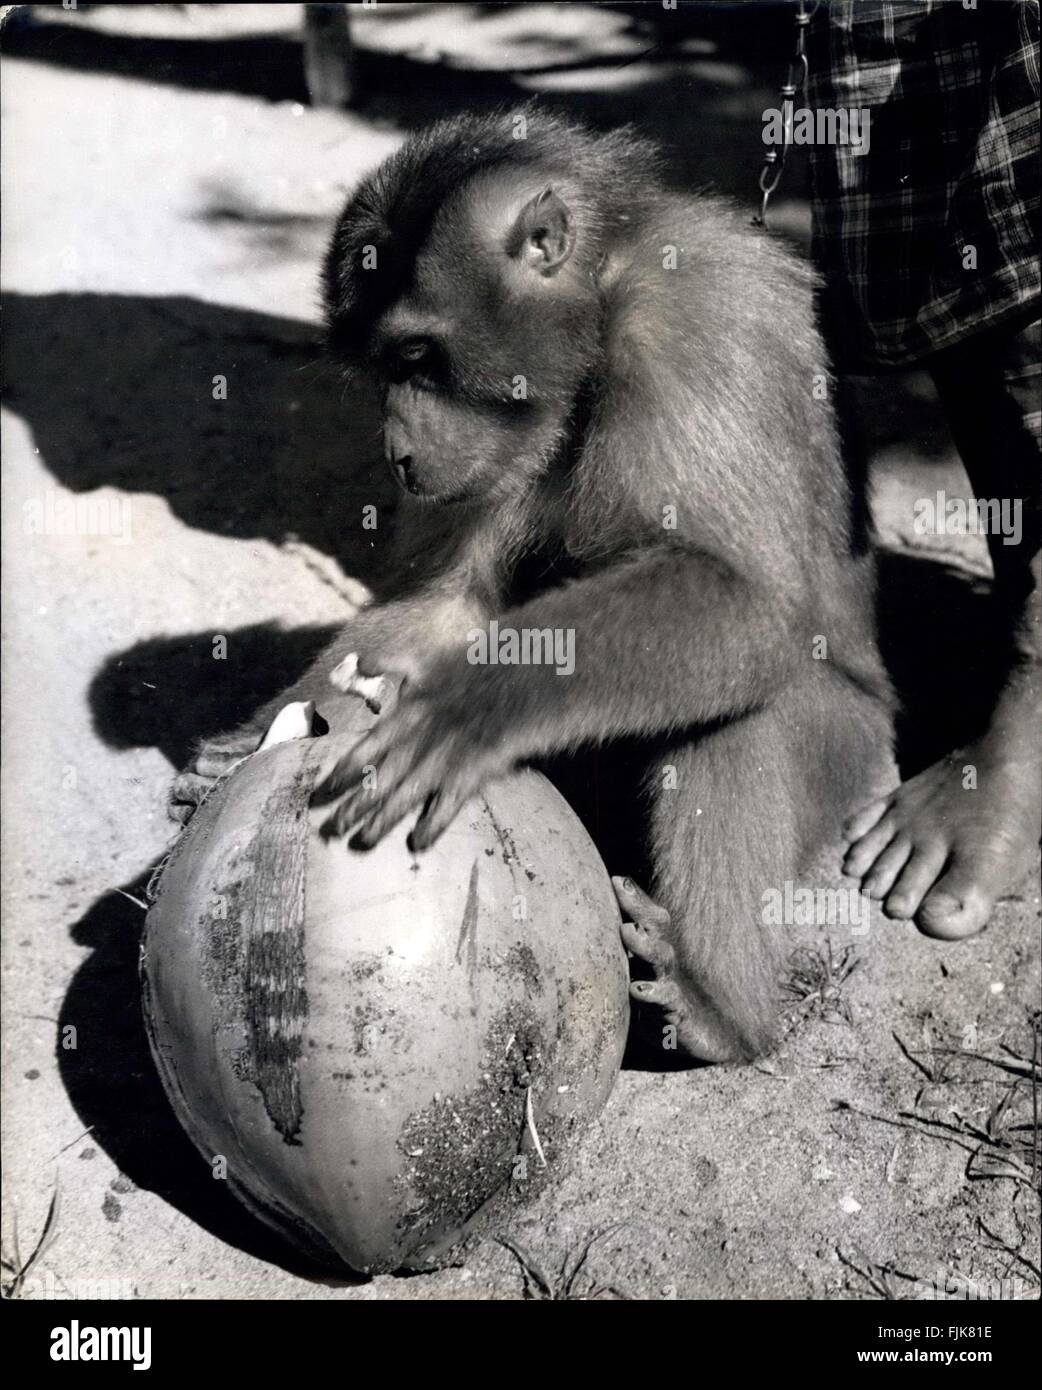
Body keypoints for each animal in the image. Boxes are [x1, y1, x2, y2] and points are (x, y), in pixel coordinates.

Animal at [170, 110, 897, 1064]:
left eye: (418, 356)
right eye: (384, 371)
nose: (398, 451)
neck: (600, 314)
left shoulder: (696, 327)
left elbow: (751, 603)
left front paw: (472, 707)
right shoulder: (502, 440)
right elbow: (452, 606)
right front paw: (266, 729)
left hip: (854, 751)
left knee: (742, 712)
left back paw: (720, 1010)